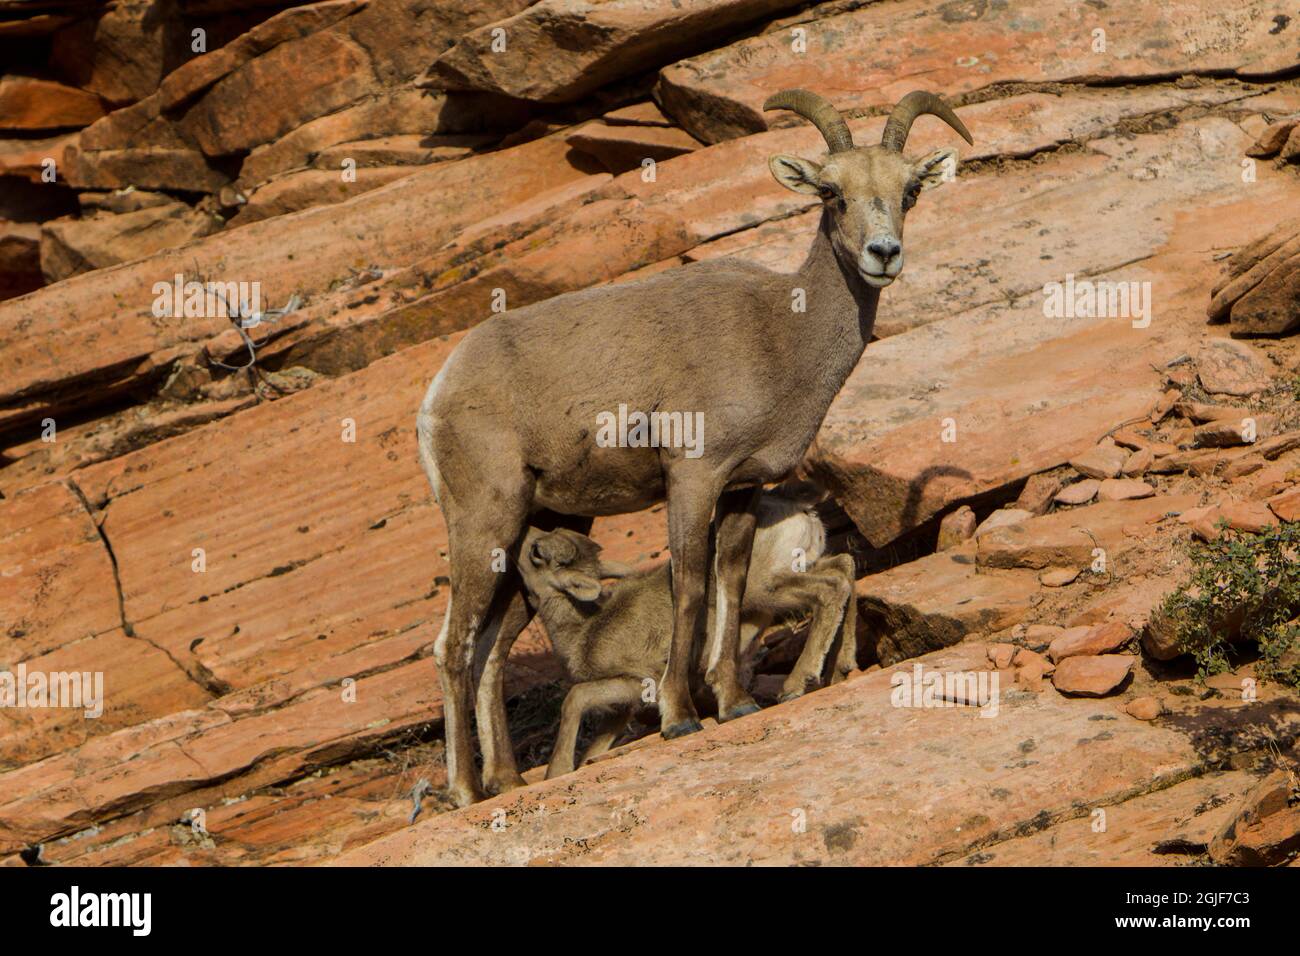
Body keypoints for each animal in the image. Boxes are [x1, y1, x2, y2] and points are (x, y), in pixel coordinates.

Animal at [514, 490, 858, 779]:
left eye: (537, 553)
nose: (521, 531)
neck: (583, 633)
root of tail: (804, 514)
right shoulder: (621, 713)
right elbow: (593, 751)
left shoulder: (635, 683)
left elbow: (574, 698)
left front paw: (556, 772)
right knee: (845, 567)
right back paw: (841, 669)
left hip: (766, 590)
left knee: (831, 587)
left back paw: (796, 685)